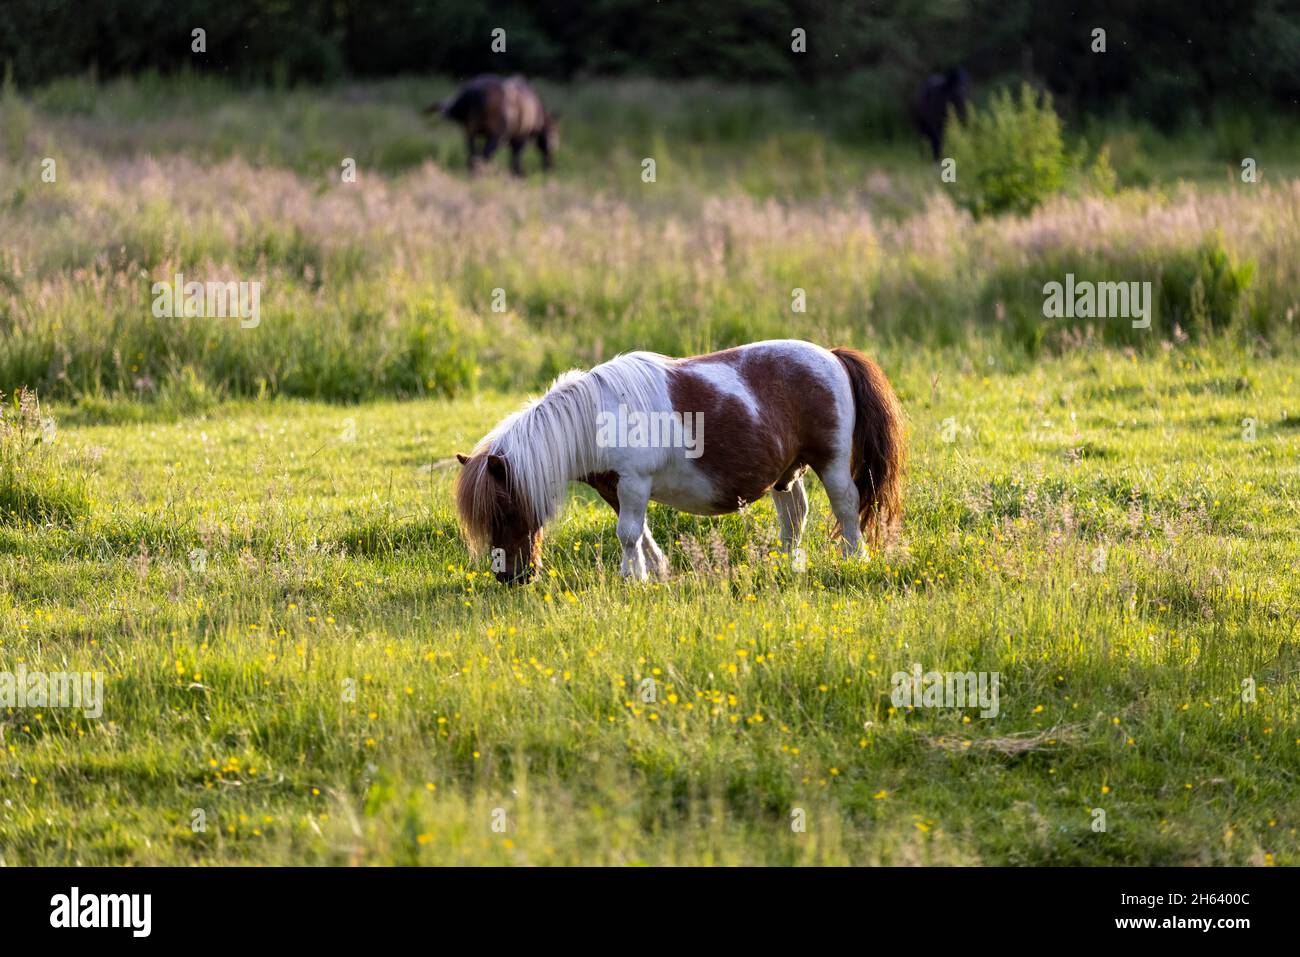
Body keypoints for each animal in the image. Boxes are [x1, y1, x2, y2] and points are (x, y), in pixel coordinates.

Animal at [424, 74, 558, 176]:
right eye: (554, 133)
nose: (551, 166)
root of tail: (472, 93)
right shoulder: (521, 138)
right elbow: (516, 159)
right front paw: (518, 175)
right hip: (495, 136)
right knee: (484, 156)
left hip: (470, 132)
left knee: (473, 156)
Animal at [454, 340, 905, 584]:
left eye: (504, 509)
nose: (510, 577)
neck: (597, 416)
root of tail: (831, 355)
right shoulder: (617, 488)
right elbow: (641, 533)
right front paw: (653, 572)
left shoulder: (634, 482)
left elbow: (628, 534)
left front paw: (631, 578)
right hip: (786, 474)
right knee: (795, 517)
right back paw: (786, 564)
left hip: (830, 463)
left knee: (845, 507)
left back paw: (855, 560)